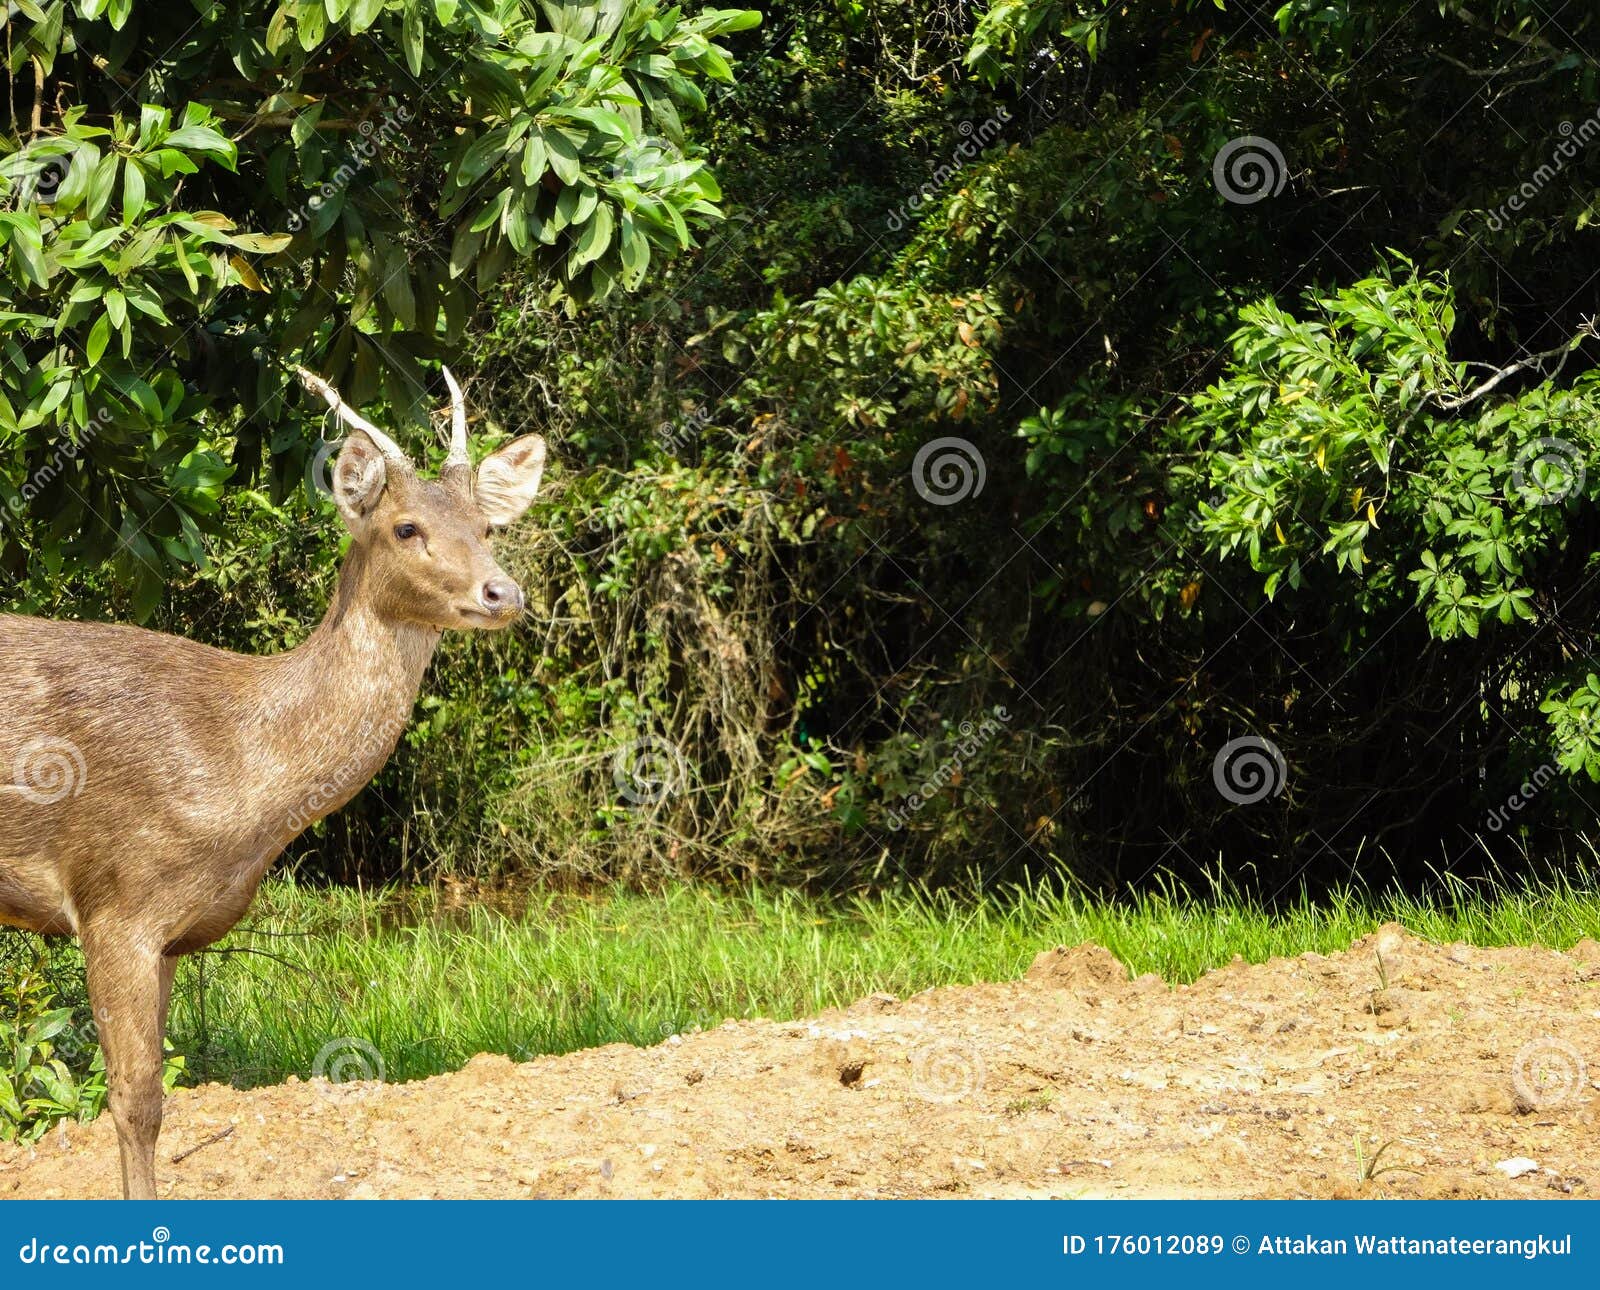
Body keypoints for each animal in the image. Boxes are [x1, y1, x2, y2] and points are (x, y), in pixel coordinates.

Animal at [0, 367, 547, 1199]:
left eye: (488, 528)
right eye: (405, 528)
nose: (502, 594)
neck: (238, 771)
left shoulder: (170, 934)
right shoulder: (114, 898)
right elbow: (135, 1100)